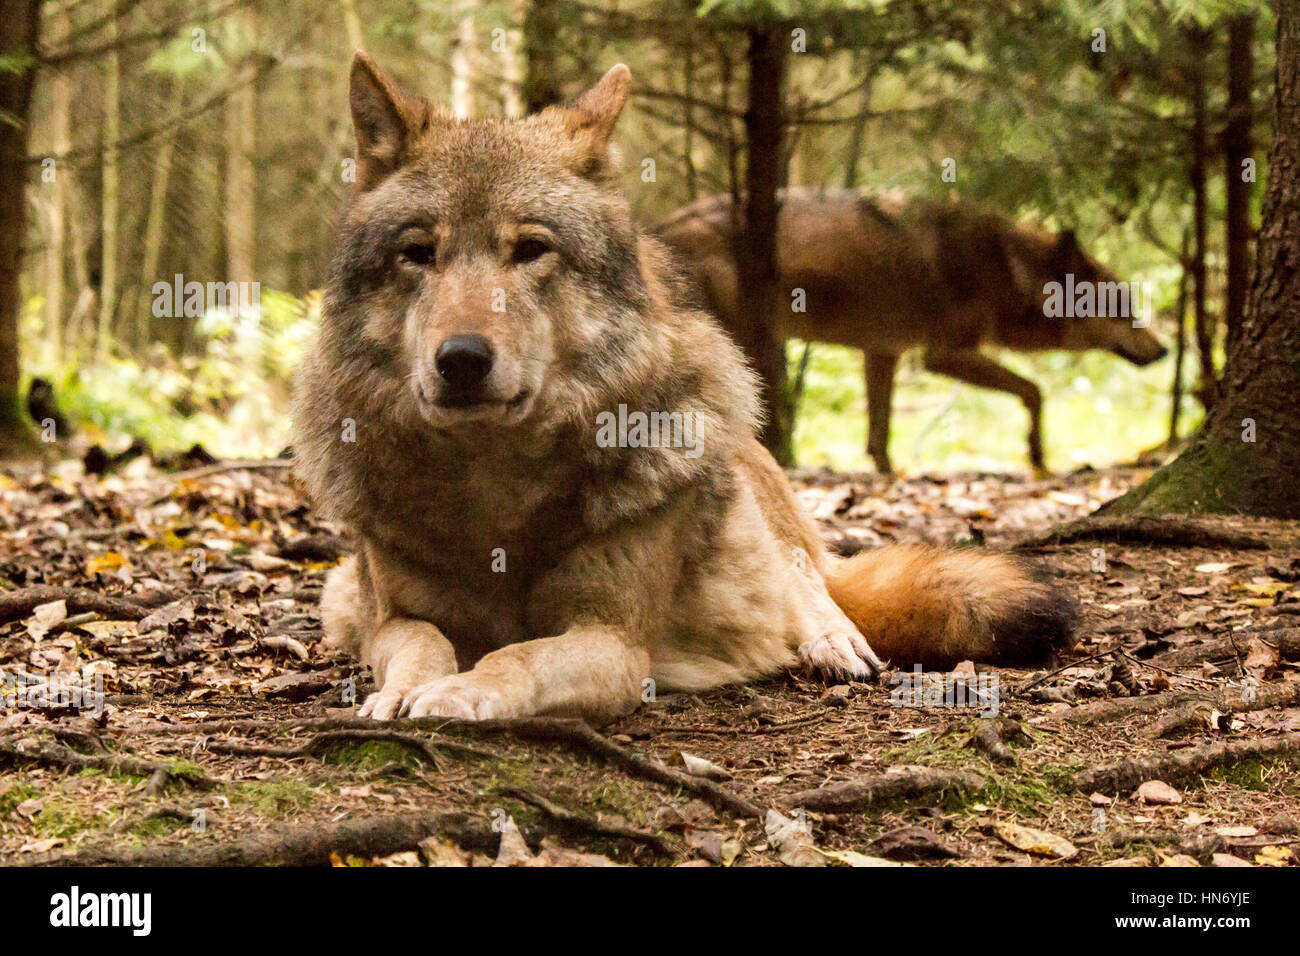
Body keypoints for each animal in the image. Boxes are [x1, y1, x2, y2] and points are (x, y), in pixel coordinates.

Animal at [292, 55, 1076, 723]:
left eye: (531, 250)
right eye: (419, 254)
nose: (460, 359)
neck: (493, 496)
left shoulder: (614, 642)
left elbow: (514, 657)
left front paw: (461, 693)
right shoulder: (388, 614)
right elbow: (422, 642)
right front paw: (407, 691)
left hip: (738, 453)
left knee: (807, 576)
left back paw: (830, 641)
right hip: (339, 592)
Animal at [655, 190, 1168, 474]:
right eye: (1122, 307)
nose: (1163, 351)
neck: (1007, 268)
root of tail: (663, 223)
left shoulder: (884, 352)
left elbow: (878, 435)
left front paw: (887, 475)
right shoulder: (942, 355)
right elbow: (1035, 392)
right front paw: (1038, 457)